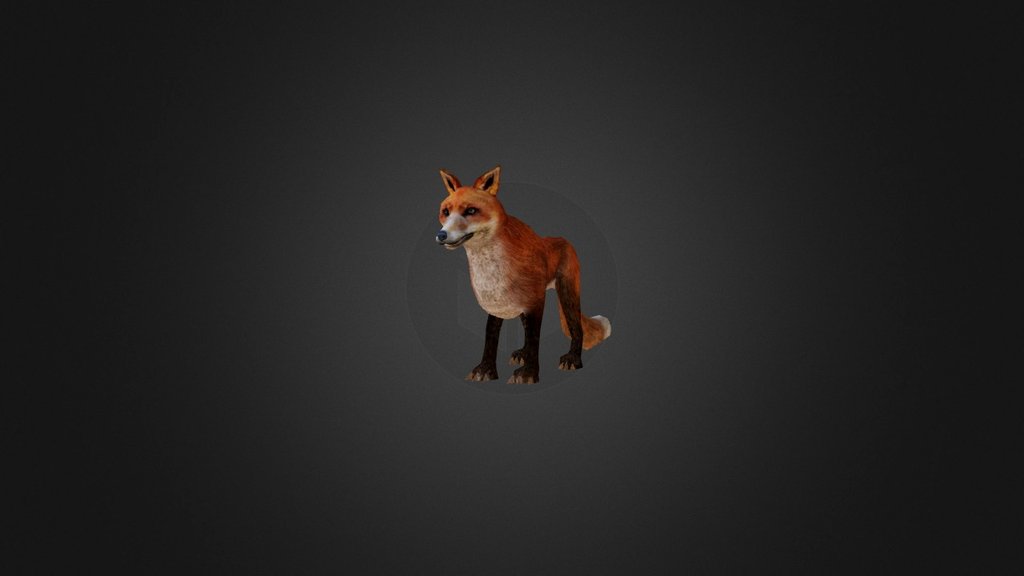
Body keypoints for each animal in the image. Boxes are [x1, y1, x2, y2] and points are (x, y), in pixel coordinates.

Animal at [435, 165, 611, 384]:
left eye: (471, 211)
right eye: (446, 212)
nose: (441, 235)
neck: (491, 272)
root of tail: (563, 240)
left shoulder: (536, 302)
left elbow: (534, 339)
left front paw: (529, 373)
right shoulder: (499, 303)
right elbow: (491, 337)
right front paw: (486, 370)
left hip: (566, 293)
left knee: (576, 328)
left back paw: (573, 359)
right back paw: (522, 353)